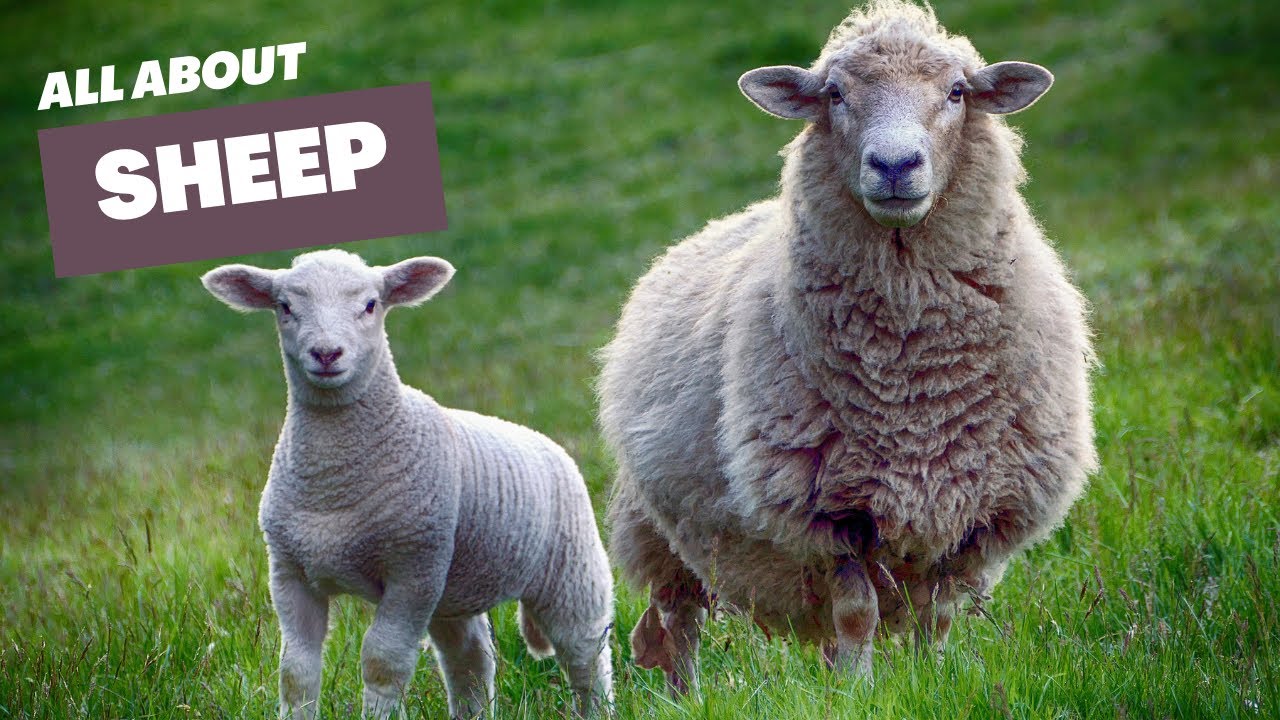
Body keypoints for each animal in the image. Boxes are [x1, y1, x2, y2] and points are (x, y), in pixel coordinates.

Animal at [201, 249, 613, 719]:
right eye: (285, 307)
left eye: (370, 305)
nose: (326, 353)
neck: (332, 484)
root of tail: (547, 443)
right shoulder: (289, 571)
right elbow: (296, 670)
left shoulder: (412, 568)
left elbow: (383, 661)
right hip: (454, 587)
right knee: (470, 659)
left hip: (571, 568)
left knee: (585, 653)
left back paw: (597, 706)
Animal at [598, 0, 1096, 692]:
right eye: (834, 93)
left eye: (957, 91)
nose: (894, 166)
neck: (915, 383)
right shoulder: (829, 514)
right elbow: (858, 613)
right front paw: (859, 692)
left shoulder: (973, 510)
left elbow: (937, 616)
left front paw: (931, 681)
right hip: (657, 528)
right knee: (680, 621)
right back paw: (687, 696)